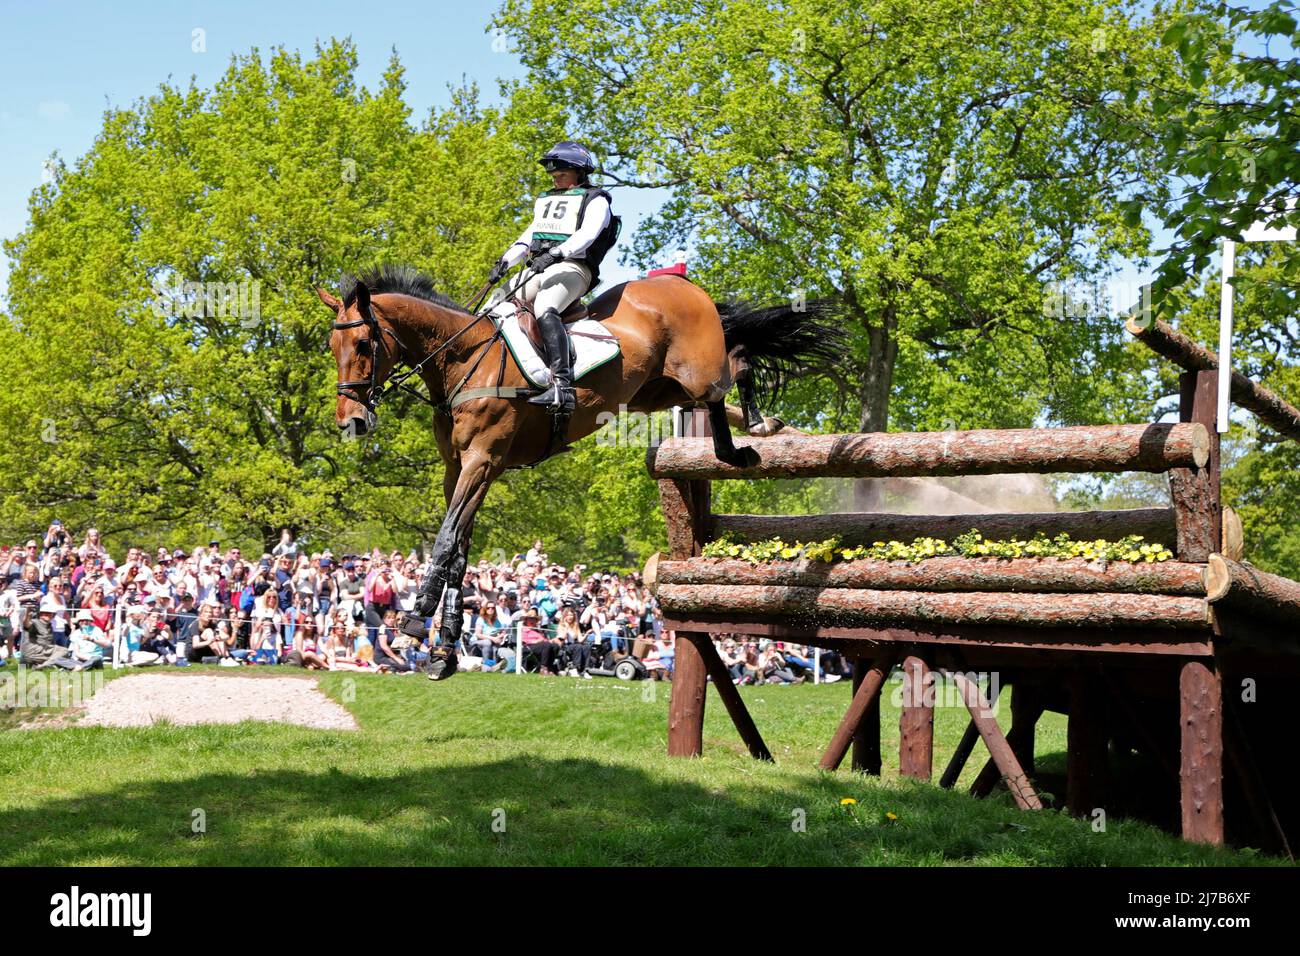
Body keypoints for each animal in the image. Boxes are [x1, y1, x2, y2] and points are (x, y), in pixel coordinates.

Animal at [317, 263, 843, 677]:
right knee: (720, 391)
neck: (461, 359)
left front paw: (417, 616)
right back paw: (742, 444)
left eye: (362, 343)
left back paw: (757, 425)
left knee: (735, 366)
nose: (351, 422)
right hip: (658, 388)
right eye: (331, 346)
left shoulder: (484, 460)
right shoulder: (458, 469)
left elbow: (447, 542)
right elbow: (459, 550)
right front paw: (443, 649)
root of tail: (682, 284)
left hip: (694, 369)